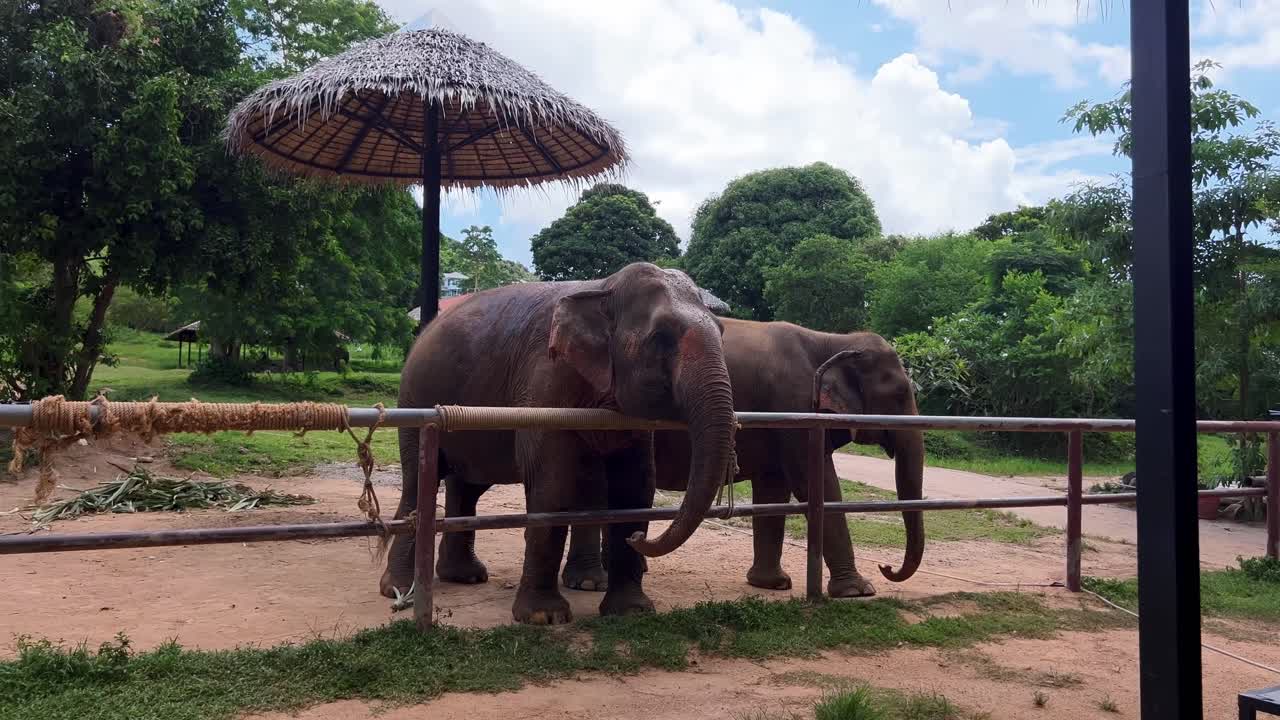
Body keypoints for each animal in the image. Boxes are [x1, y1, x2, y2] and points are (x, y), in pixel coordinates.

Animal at [380, 262, 737, 625]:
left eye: (722, 331)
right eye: (660, 338)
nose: (639, 539)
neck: (605, 287)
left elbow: (635, 486)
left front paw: (630, 612)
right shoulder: (545, 380)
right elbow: (553, 482)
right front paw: (544, 617)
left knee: (467, 485)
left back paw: (464, 576)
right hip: (415, 398)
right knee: (418, 482)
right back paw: (398, 588)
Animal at [562, 319, 926, 598]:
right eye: (899, 395)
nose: (886, 567)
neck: (832, 339)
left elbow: (774, 490)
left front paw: (771, 584)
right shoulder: (794, 406)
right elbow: (816, 482)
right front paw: (858, 592)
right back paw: (592, 583)